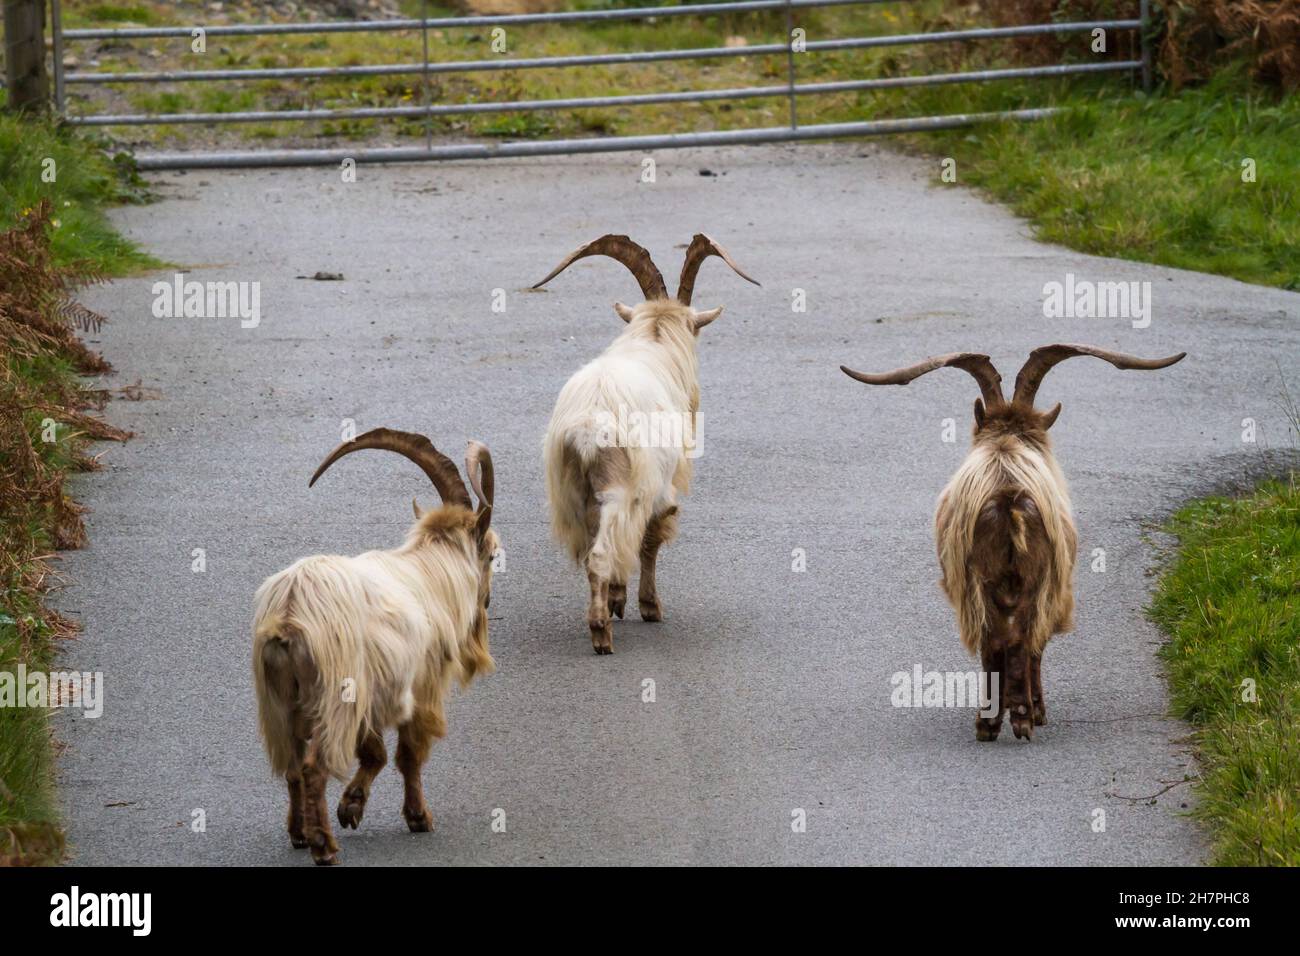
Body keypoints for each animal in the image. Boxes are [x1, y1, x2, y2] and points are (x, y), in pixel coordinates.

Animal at [252, 428, 498, 864]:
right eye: (489, 555)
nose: (486, 603)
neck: (432, 572)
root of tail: (289, 610)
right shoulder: (420, 684)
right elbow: (408, 754)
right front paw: (417, 817)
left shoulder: (375, 692)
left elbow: (374, 753)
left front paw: (351, 807)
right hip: (336, 695)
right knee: (314, 766)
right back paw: (324, 847)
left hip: (280, 702)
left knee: (293, 765)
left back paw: (299, 834)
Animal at [535, 234, 759, 654]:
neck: (655, 341)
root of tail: (589, 422)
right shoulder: (659, 486)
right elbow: (650, 539)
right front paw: (648, 606)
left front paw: (620, 597)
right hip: (619, 485)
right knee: (602, 553)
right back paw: (601, 633)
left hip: (571, 492)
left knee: (591, 548)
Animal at [841, 344, 1185, 741]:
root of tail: (1007, 497)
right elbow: (1032, 644)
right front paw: (1036, 710)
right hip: (1028, 579)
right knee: (1019, 640)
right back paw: (1017, 718)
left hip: (983, 579)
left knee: (995, 640)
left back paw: (994, 720)